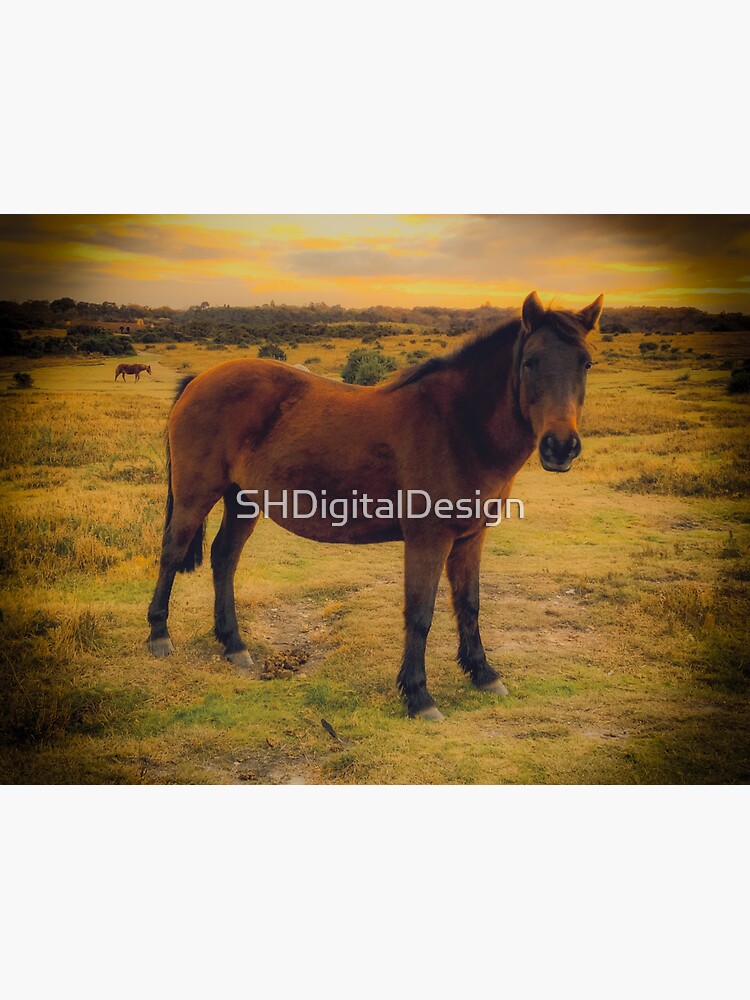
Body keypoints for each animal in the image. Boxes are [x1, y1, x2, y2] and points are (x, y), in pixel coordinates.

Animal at [147, 291, 603, 720]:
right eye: (530, 362)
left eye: (585, 364)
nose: (561, 447)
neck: (456, 425)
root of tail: (199, 380)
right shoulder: (427, 540)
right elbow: (420, 614)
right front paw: (419, 696)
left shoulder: (471, 538)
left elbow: (469, 605)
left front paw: (483, 674)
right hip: (195, 495)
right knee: (172, 552)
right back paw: (158, 636)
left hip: (242, 500)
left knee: (224, 558)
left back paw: (233, 644)